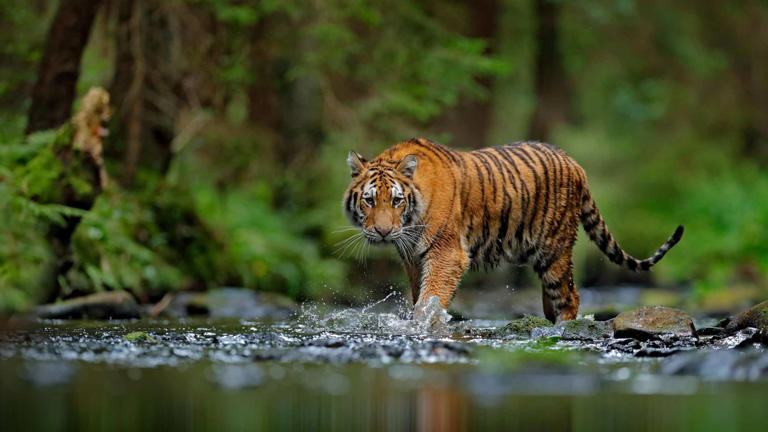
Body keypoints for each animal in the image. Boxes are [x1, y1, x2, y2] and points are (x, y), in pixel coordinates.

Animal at [342, 138, 684, 323]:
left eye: (396, 200)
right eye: (370, 200)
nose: (383, 232)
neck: (410, 222)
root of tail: (575, 163)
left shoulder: (446, 254)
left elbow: (431, 298)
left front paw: (424, 325)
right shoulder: (413, 258)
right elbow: (419, 296)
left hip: (554, 249)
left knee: (569, 296)